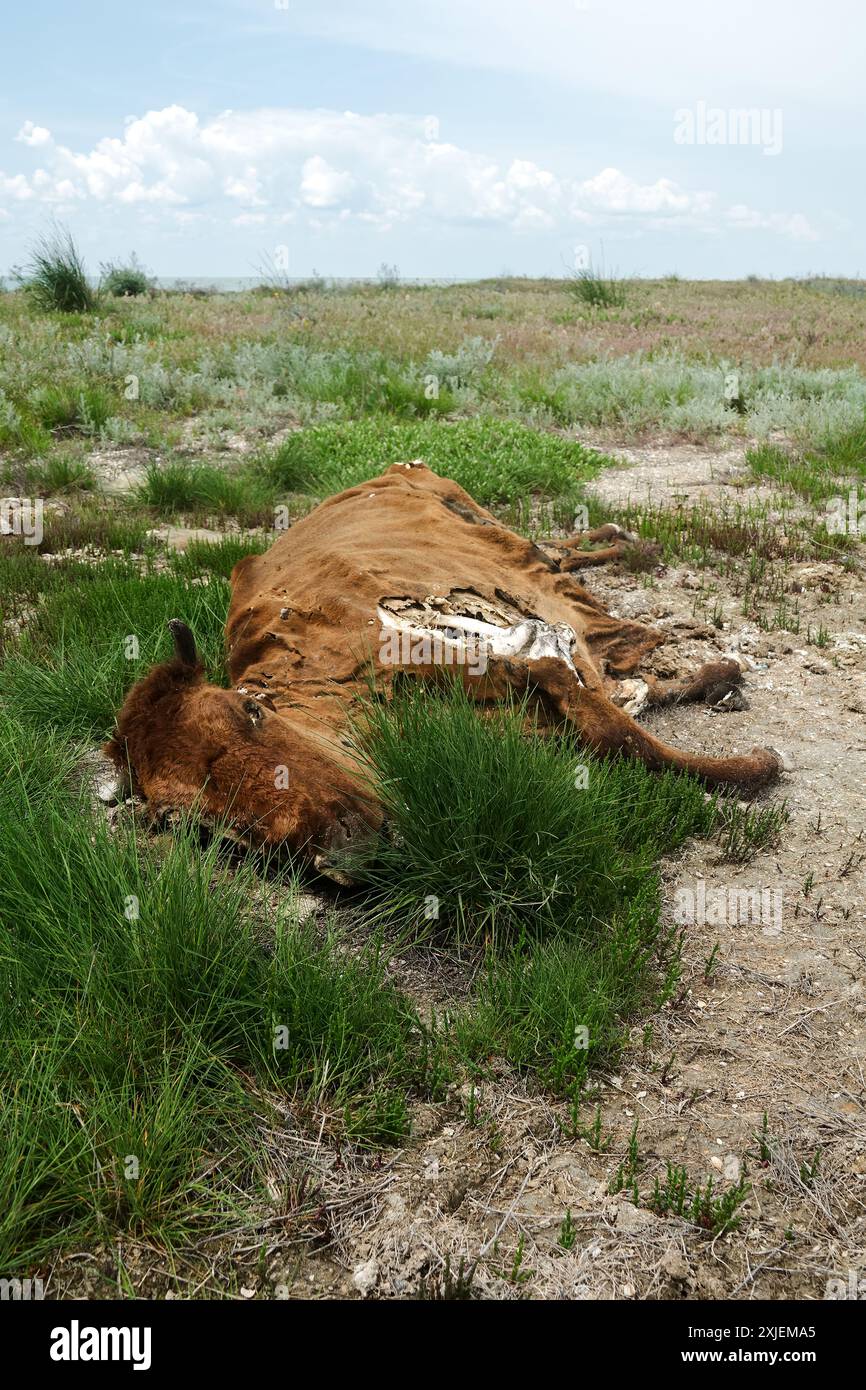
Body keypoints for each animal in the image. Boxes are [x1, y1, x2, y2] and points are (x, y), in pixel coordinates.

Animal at [106, 462, 781, 879]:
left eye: (251, 711)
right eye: (194, 822)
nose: (347, 849)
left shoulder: (529, 654)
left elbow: (617, 728)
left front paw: (756, 761)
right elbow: (626, 707)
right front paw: (716, 677)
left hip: (470, 508)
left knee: (545, 549)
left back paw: (631, 538)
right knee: (554, 555)